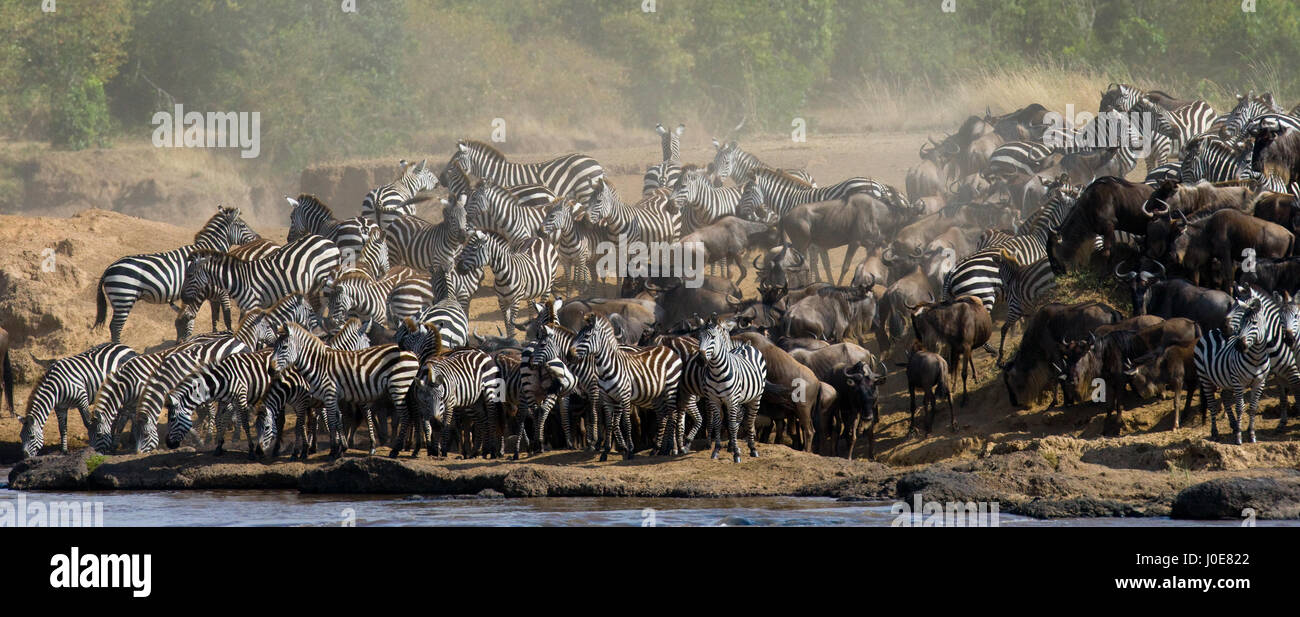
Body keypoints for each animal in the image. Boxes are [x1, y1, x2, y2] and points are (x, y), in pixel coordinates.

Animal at [95, 206, 257, 343]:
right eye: (243, 225)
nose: (258, 238)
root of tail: (108, 268)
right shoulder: (220, 291)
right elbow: (226, 317)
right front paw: (229, 334)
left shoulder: (207, 293)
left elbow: (211, 318)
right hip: (124, 296)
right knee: (116, 327)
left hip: (119, 299)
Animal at [271, 322, 419, 457]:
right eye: (274, 346)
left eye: (284, 347)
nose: (271, 369)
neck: (319, 364)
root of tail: (411, 353)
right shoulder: (329, 398)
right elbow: (336, 420)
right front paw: (340, 448)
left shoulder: (328, 395)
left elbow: (330, 421)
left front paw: (332, 450)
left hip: (398, 386)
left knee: (404, 415)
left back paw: (395, 449)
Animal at [572, 313, 683, 461]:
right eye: (578, 334)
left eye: (587, 335)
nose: (570, 353)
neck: (606, 368)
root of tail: (667, 349)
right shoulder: (608, 399)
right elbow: (609, 423)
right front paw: (605, 452)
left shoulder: (624, 397)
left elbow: (626, 424)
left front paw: (630, 451)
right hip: (658, 395)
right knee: (662, 416)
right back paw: (657, 449)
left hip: (671, 388)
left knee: (673, 415)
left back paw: (671, 448)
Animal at [697, 316, 767, 462]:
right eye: (698, 337)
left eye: (713, 337)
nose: (700, 359)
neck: (717, 373)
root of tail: (746, 346)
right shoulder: (714, 400)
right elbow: (718, 424)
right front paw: (716, 450)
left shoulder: (732, 400)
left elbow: (733, 425)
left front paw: (736, 452)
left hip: (757, 397)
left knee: (750, 419)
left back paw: (753, 448)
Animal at [1195, 297, 1271, 444]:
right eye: (1241, 323)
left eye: (1254, 323)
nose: (1239, 345)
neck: (1256, 357)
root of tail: (1214, 330)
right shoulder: (1238, 382)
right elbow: (1240, 407)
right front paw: (1239, 437)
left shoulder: (1260, 382)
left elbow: (1253, 407)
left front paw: (1251, 434)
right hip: (1205, 378)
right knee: (1212, 404)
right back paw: (1215, 432)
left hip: (1226, 380)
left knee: (1224, 396)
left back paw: (1234, 425)